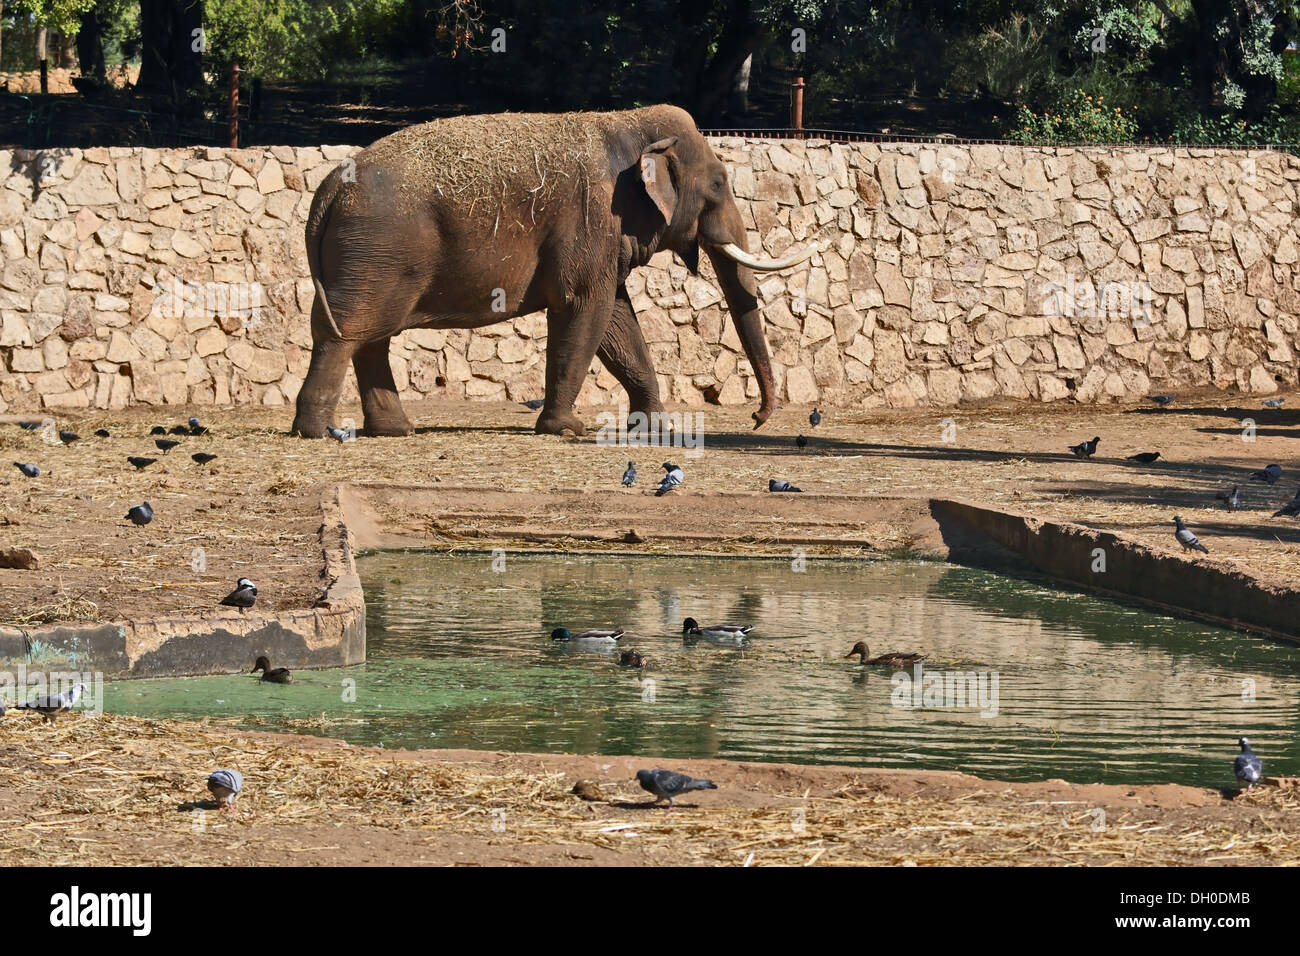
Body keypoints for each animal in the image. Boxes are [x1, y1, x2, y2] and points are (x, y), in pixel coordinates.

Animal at [290, 105, 812, 439]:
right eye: (719, 184)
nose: (757, 419)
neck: (624, 122)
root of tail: (328, 188)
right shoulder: (590, 220)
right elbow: (584, 310)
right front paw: (567, 429)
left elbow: (617, 320)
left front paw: (655, 427)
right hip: (376, 251)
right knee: (346, 331)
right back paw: (318, 432)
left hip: (372, 256)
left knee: (367, 336)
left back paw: (396, 432)